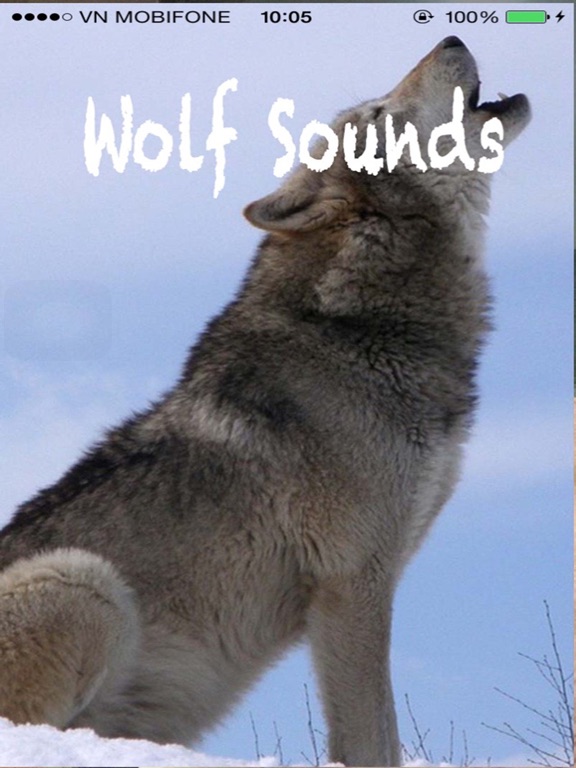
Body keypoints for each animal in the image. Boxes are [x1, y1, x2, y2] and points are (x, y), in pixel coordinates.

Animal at [0, 37, 529, 767]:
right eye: (377, 112)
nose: (451, 38)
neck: (355, 327)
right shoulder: (352, 581)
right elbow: (372, 735)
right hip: (86, 583)